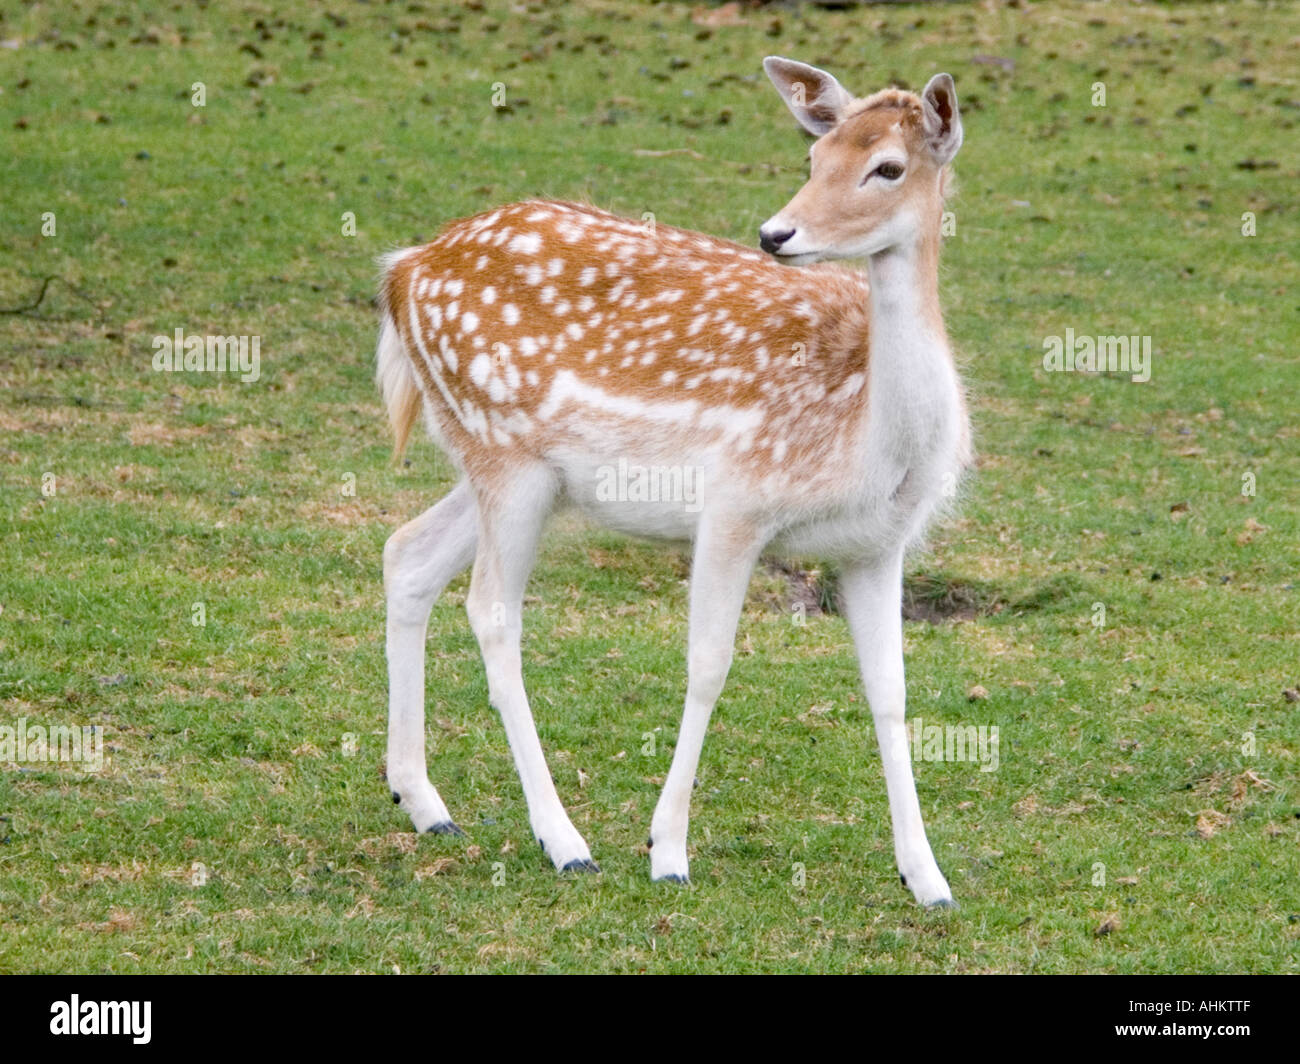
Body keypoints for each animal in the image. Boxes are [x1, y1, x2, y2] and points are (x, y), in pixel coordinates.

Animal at [374, 57, 970, 908]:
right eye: (813, 158)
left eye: (886, 167)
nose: (777, 234)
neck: (868, 443)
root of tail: (401, 272)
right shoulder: (735, 504)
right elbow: (708, 666)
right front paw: (667, 851)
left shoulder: (877, 545)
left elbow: (891, 691)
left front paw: (926, 876)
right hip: (503, 455)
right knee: (490, 610)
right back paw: (565, 842)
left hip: (513, 466)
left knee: (407, 553)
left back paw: (424, 802)